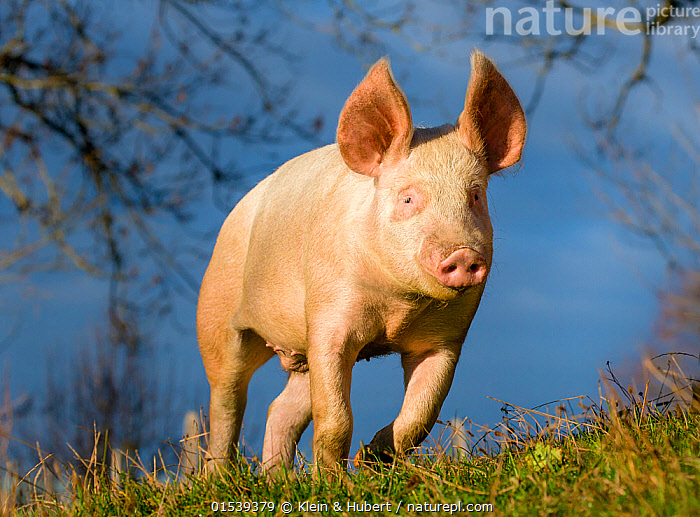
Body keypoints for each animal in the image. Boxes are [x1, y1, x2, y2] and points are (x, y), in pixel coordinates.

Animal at [197, 49, 526, 473]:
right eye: (408, 198)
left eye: (475, 196)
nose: (463, 254)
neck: (398, 306)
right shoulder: (327, 321)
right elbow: (336, 419)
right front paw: (334, 478)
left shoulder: (447, 337)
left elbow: (421, 415)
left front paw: (369, 460)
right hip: (218, 317)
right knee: (226, 400)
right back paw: (218, 476)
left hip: (299, 355)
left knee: (280, 409)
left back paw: (275, 479)